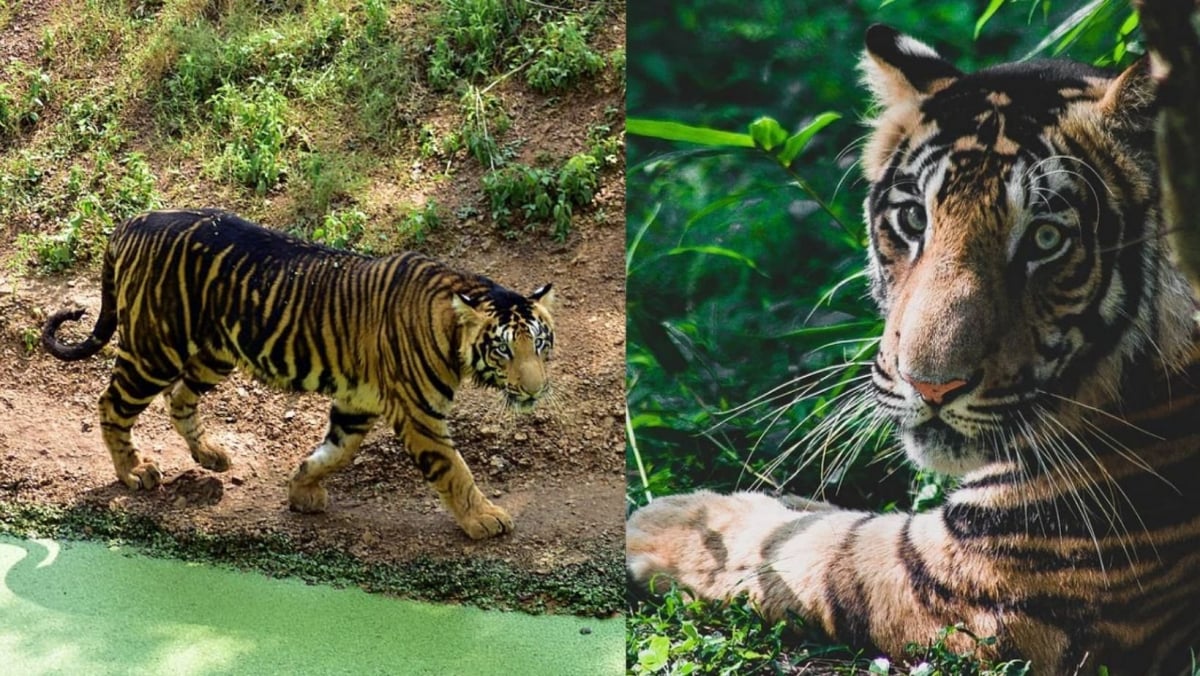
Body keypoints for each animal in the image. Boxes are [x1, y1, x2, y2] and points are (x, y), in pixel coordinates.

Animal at [41, 208, 556, 540]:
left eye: (540, 344)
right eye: (503, 350)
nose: (535, 389)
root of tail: (131, 221)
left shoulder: (356, 403)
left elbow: (336, 452)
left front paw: (301, 489)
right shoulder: (420, 415)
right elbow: (454, 470)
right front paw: (485, 519)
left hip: (213, 353)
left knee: (180, 397)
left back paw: (212, 456)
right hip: (154, 349)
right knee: (113, 403)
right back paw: (134, 472)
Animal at [627, 24, 1200, 674]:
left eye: (1045, 238)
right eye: (912, 220)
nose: (931, 386)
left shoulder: (995, 575)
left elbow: (817, 548)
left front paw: (668, 519)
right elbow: (814, 513)